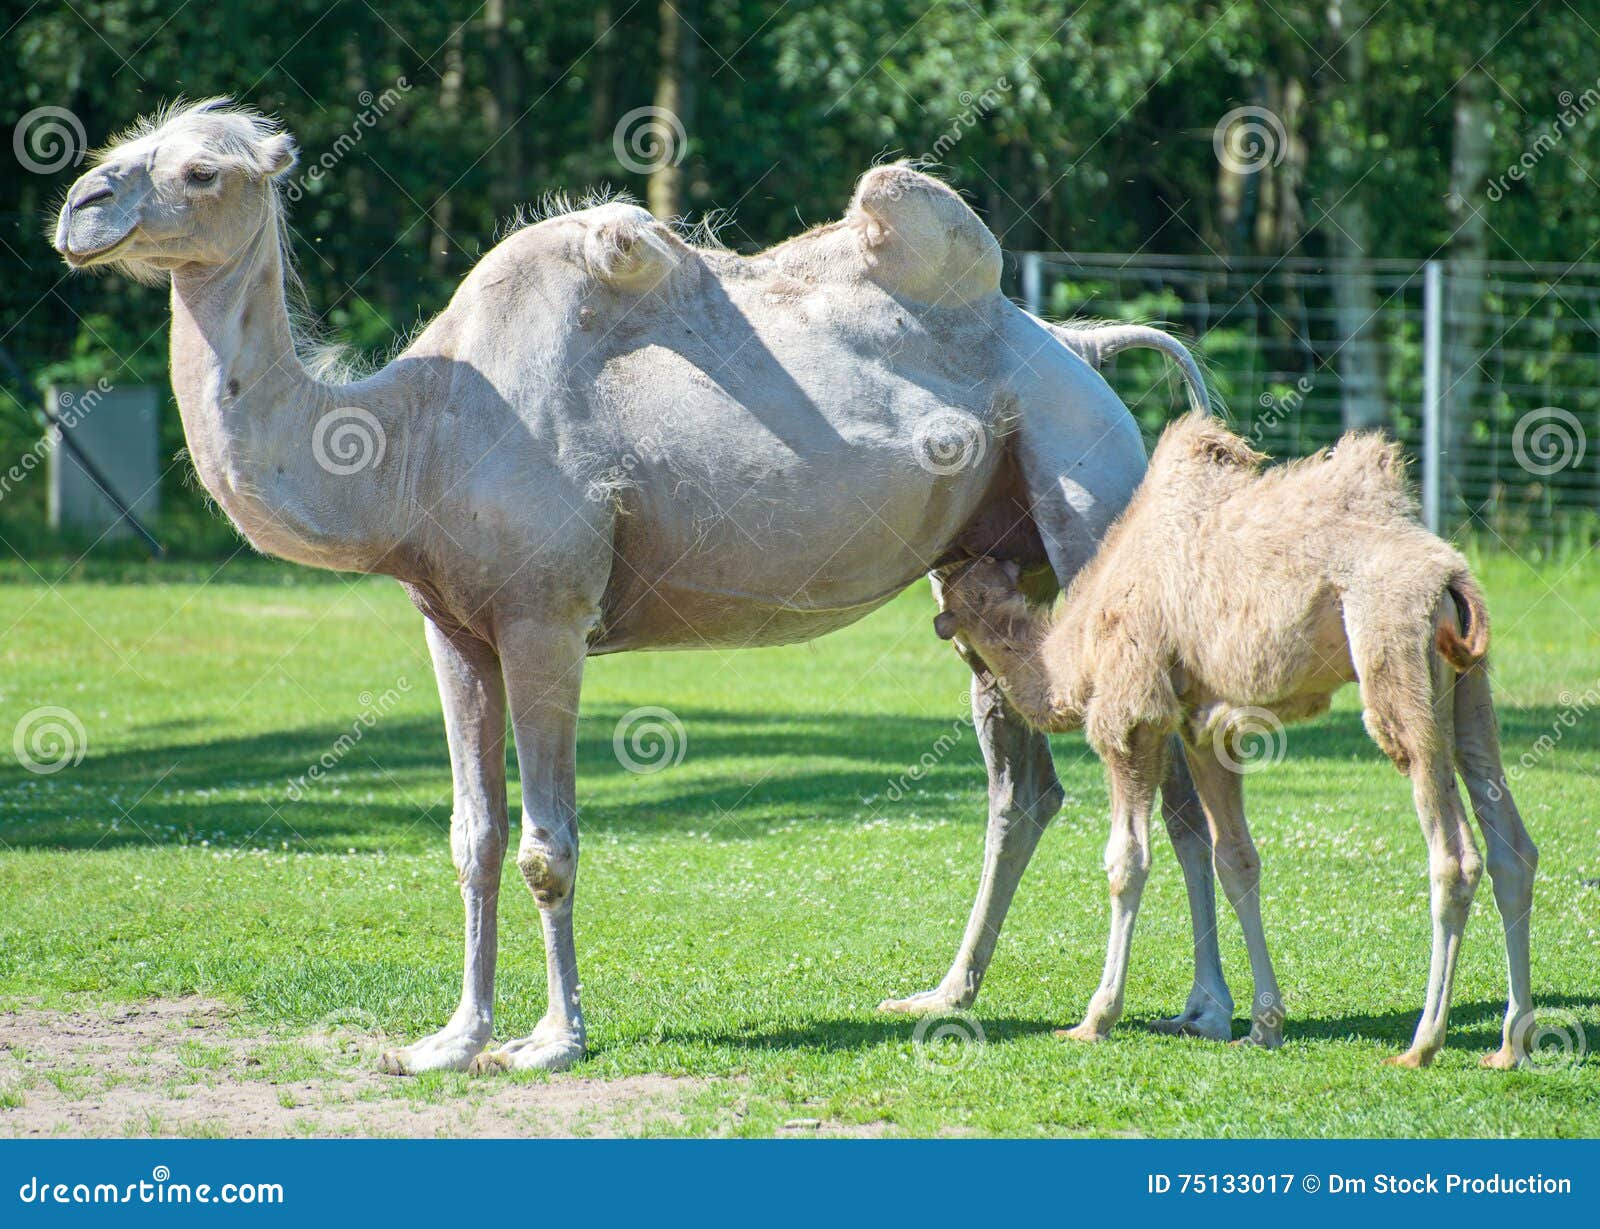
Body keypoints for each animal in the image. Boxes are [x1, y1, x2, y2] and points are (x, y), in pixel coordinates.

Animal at [54, 99, 1237, 1074]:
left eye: (202, 169)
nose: (81, 205)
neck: (411, 436)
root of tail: (1077, 345)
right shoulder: (450, 623)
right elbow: (471, 836)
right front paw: (449, 1039)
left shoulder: (545, 616)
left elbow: (547, 845)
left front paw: (549, 1042)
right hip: (983, 557)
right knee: (1020, 785)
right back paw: (945, 993)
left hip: (1086, 479)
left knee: (1166, 765)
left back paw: (1203, 1006)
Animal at [932, 415, 1538, 1068]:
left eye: (952, 593)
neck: (1076, 652)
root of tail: (1450, 577)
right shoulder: (1203, 726)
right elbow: (1236, 860)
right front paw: (1264, 1024)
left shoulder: (1129, 714)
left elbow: (1127, 861)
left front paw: (1095, 1019)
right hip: (1470, 689)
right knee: (1512, 846)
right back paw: (1512, 1044)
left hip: (1397, 664)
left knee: (1454, 855)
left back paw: (1422, 1044)